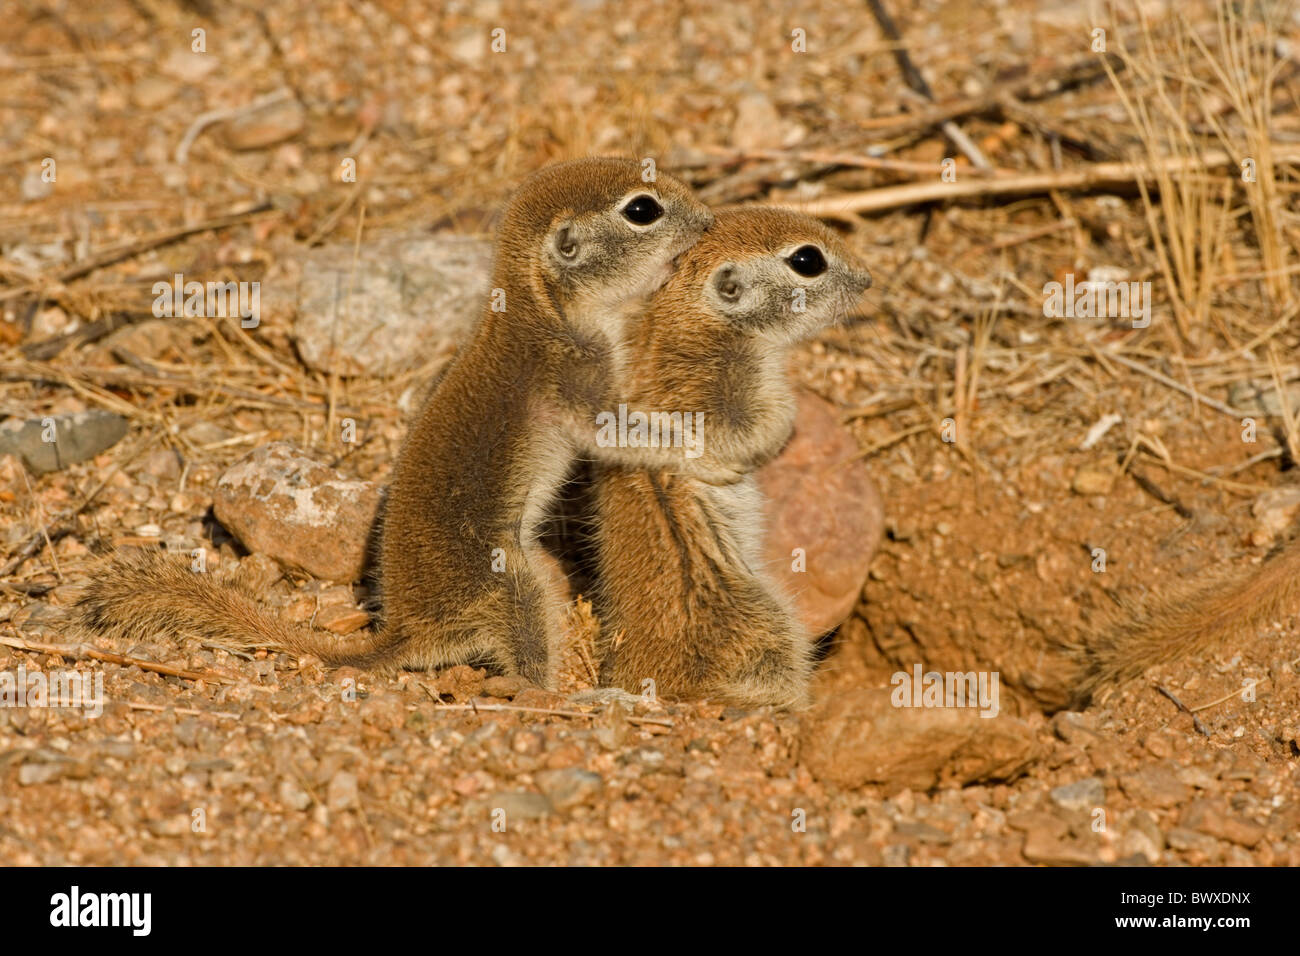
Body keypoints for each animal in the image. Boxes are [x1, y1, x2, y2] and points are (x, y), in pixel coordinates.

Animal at [77, 157, 715, 688]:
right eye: (642, 210)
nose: (709, 221)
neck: (542, 308)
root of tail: (408, 633)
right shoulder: (576, 378)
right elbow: (615, 430)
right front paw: (691, 436)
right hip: (513, 584)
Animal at [588, 206, 873, 708]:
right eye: (807, 260)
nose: (868, 279)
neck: (697, 317)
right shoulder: (731, 393)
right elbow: (760, 428)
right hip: (768, 627)